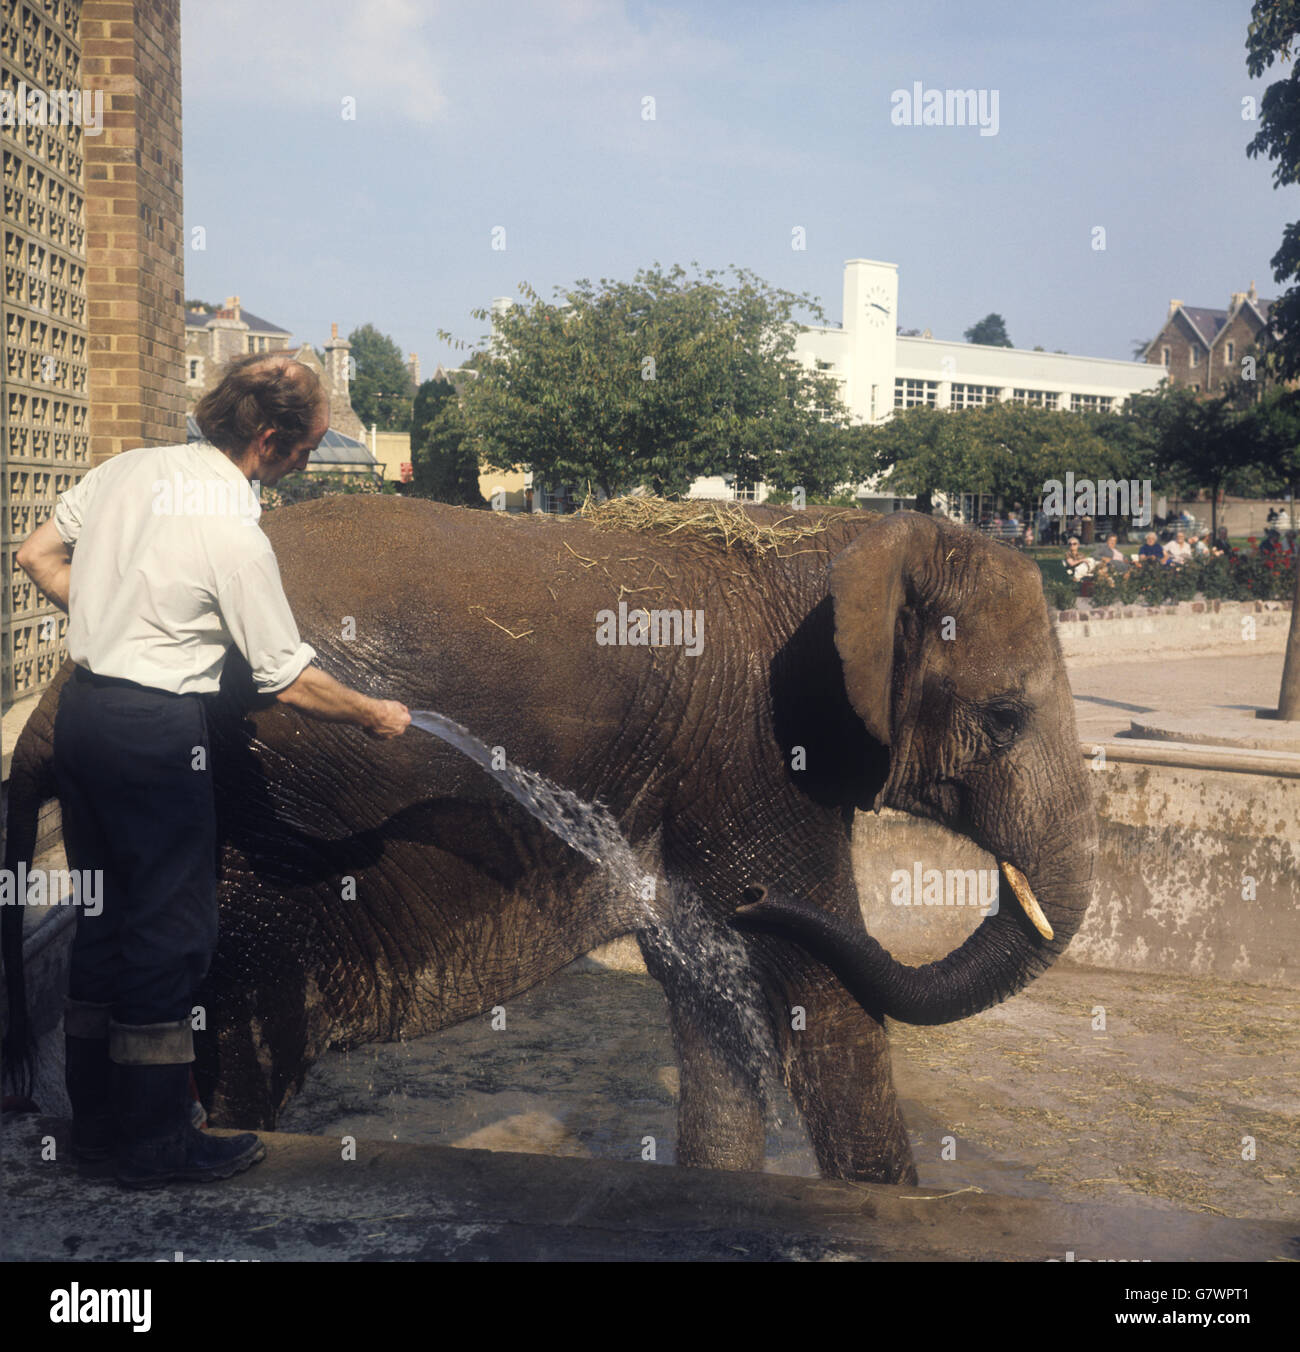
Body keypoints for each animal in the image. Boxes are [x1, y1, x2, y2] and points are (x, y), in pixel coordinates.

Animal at [2, 496, 1096, 1185]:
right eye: (1004, 717)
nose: (752, 901)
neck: (840, 535)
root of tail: (51, 704)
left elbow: (712, 982)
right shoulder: (757, 751)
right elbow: (817, 992)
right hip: (241, 830)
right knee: (231, 1035)